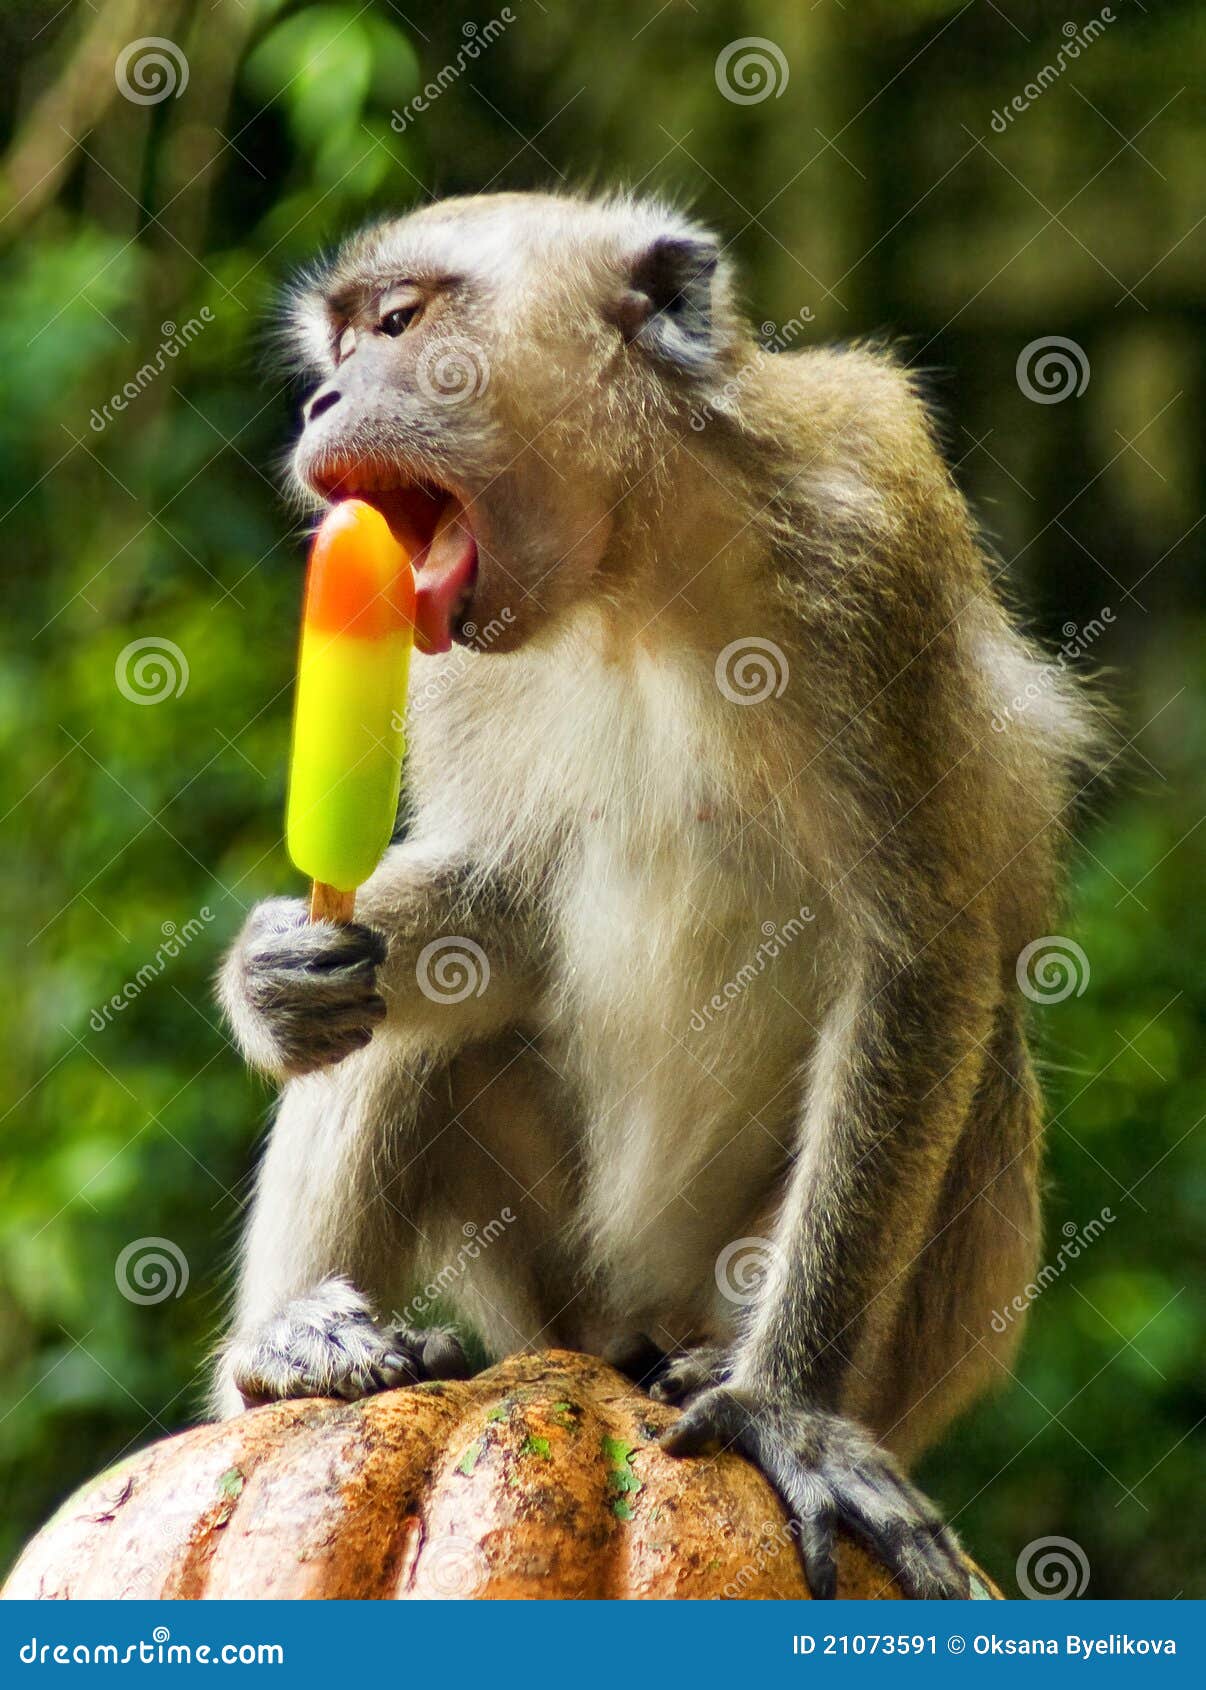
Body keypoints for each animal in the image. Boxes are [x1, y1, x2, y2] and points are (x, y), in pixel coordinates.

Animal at [215, 191, 1095, 1601]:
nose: (321, 400)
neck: (630, 566)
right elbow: (493, 915)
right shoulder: (442, 656)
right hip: (551, 1287)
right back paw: (293, 1357)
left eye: (397, 324)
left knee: (982, 1056)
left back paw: (713, 1370)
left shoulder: (870, 544)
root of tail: (622, 1328)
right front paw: (272, 974)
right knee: (411, 1028)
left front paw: (782, 1408)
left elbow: (919, 956)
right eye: (336, 345)